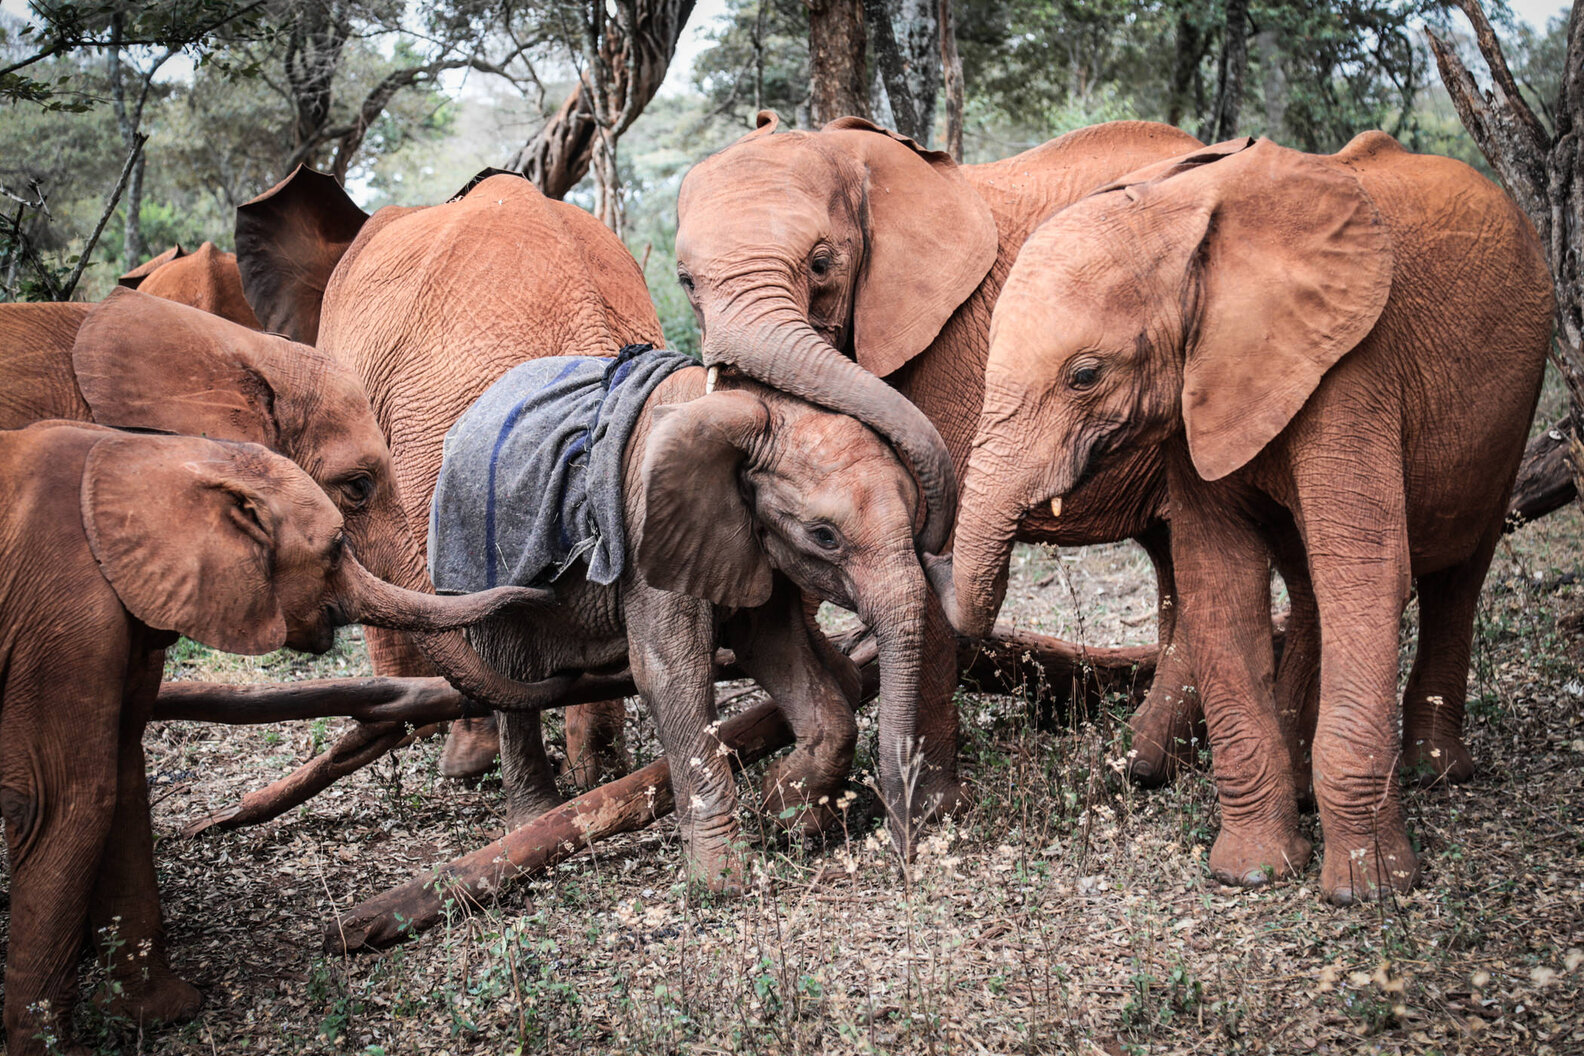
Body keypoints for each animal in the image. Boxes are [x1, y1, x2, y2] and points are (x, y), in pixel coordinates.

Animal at [0, 421, 549, 1056]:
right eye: (336, 548)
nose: (543, 593)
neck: (151, 455)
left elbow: (121, 775)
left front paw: (164, 1014)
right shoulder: (67, 613)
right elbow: (63, 800)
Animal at [428, 360, 962, 889]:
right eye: (824, 536)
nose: (904, 852)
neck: (760, 407)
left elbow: (772, 646)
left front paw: (785, 812)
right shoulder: (648, 528)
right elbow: (672, 672)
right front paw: (723, 881)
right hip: (478, 565)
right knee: (512, 675)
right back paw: (534, 821)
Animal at [938, 133, 1552, 903]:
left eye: (1085, 375)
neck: (1180, 215)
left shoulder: (1353, 367)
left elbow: (1366, 573)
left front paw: (1368, 890)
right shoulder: (1202, 396)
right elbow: (1220, 581)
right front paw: (1254, 872)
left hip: (1513, 412)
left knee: (1456, 575)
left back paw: (1433, 773)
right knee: (1310, 581)